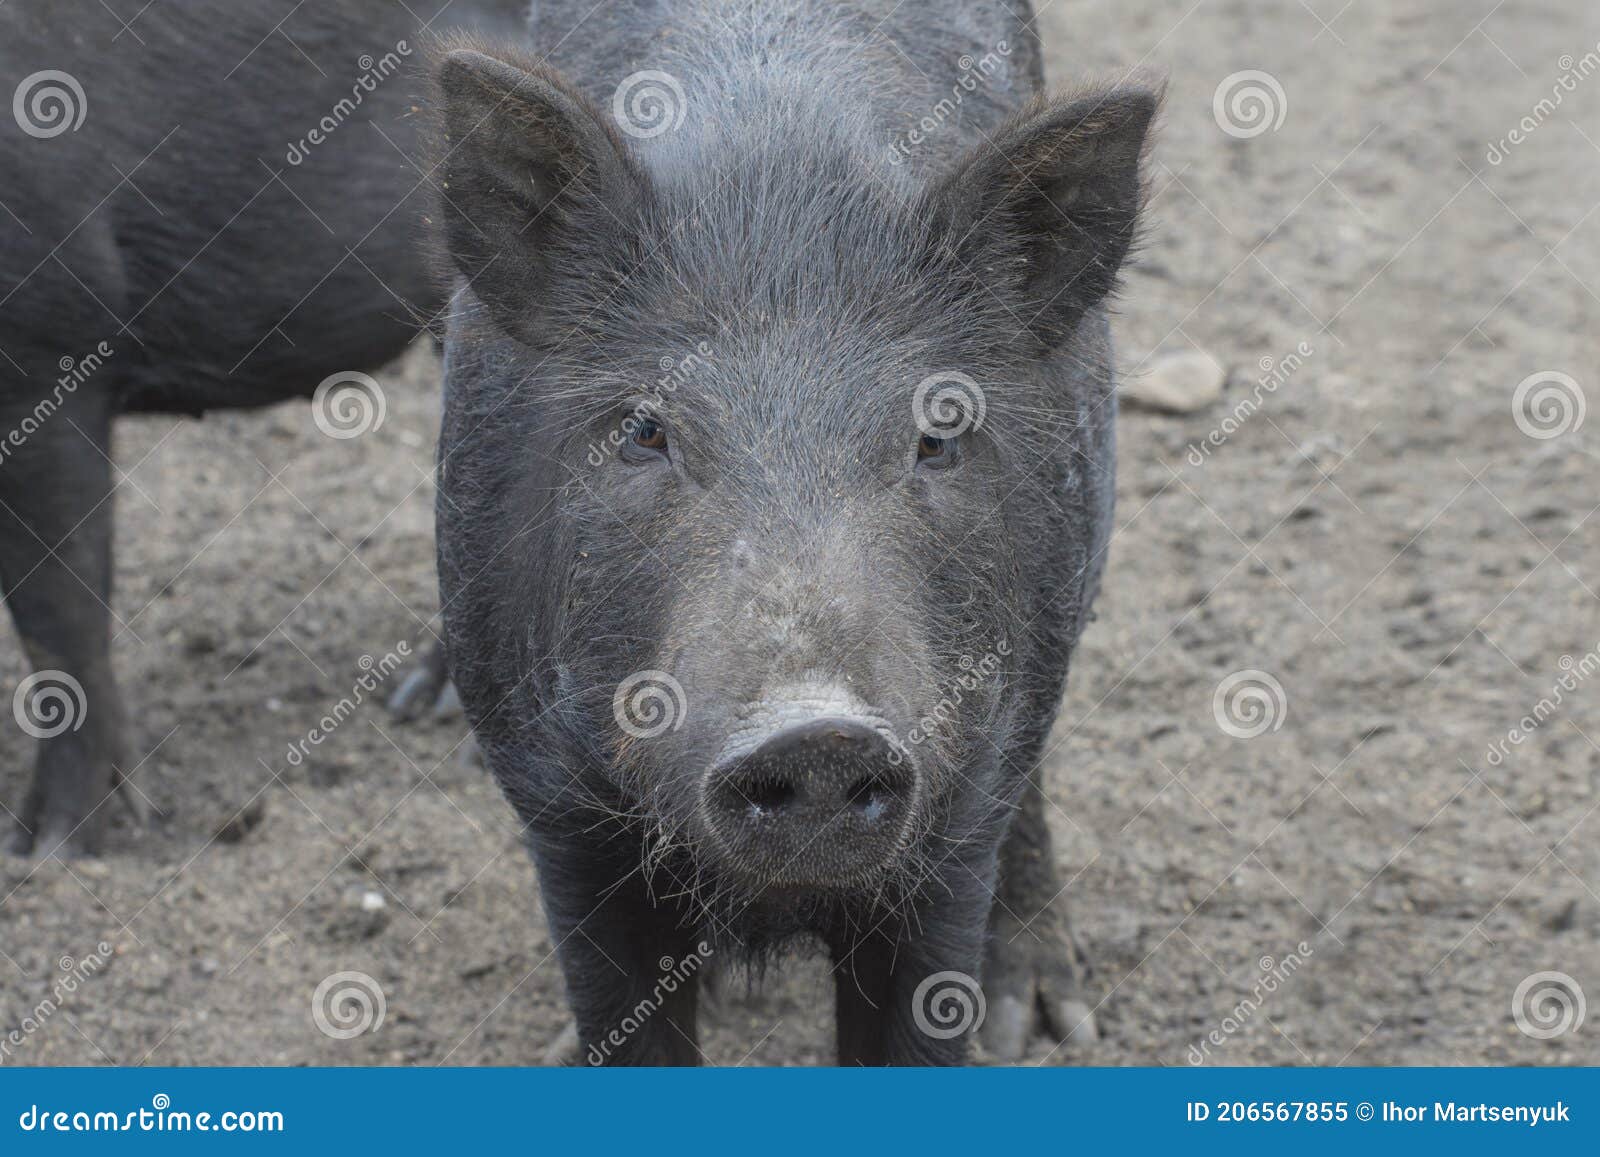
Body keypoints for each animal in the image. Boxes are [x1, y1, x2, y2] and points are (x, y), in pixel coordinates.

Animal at [432, 0, 1156, 1064]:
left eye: (937, 433)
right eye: (645, 430)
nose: (816, 730)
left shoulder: (953, 828)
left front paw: (993, 1030)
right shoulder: (559, 816)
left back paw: (1041, 1022)